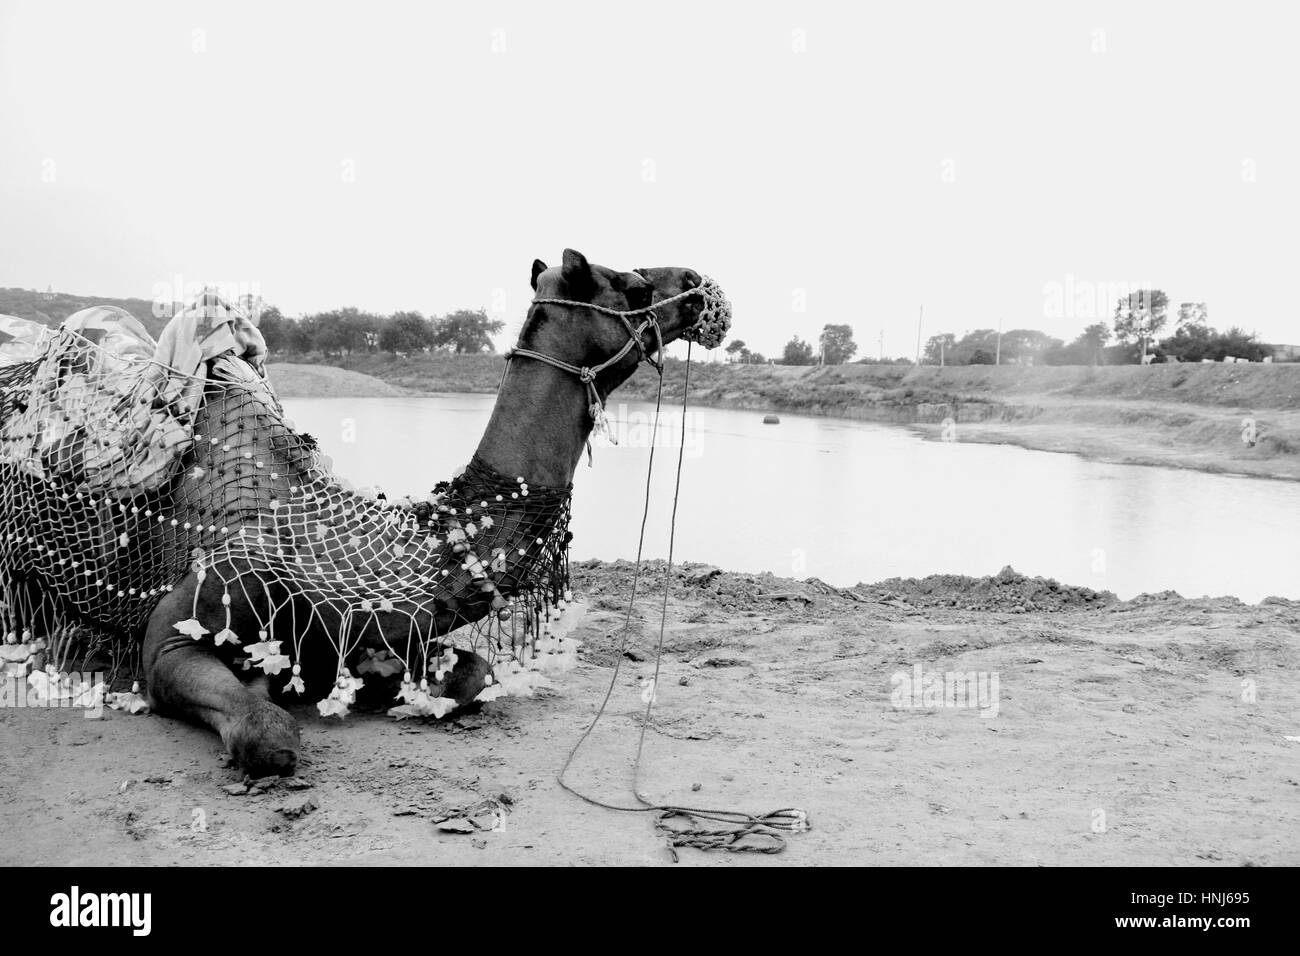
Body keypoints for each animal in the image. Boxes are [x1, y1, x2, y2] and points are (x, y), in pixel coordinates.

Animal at [0, 250, 729, 776]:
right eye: (631, 284)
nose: (698, 284)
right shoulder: (175, 633)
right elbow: (267, 734)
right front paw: (273, 695)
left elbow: (473, 675)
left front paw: (382, 685)